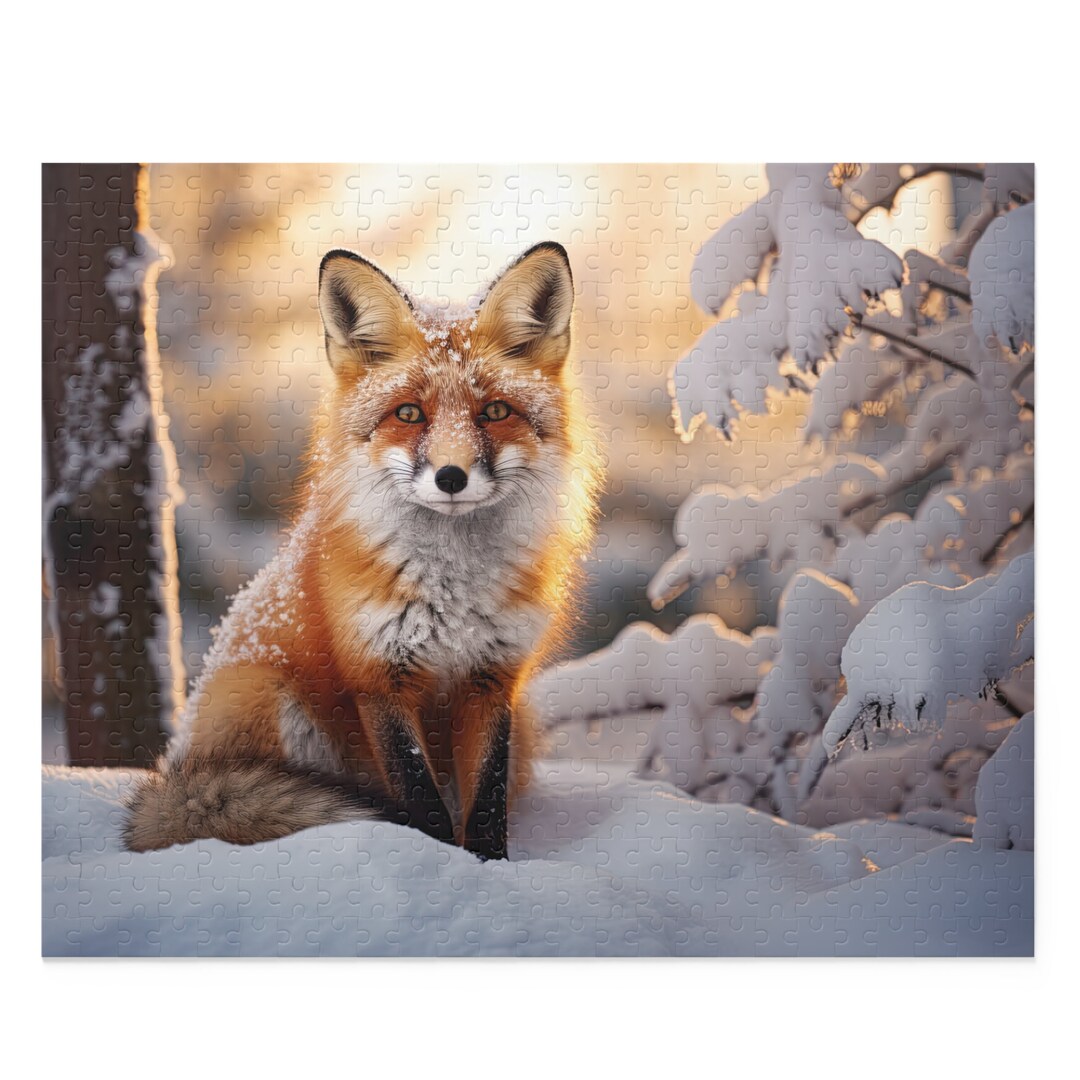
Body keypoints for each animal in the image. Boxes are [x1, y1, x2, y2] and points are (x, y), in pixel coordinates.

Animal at [123, 242, 600, 860]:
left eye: (495, 412)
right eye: (409, 413)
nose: (451, 477)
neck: (454, 592)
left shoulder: (492, 681)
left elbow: (486, 803)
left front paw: (488, 866)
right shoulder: (378, 678)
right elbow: (421, 798)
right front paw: (438, 859)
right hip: (266, 694)